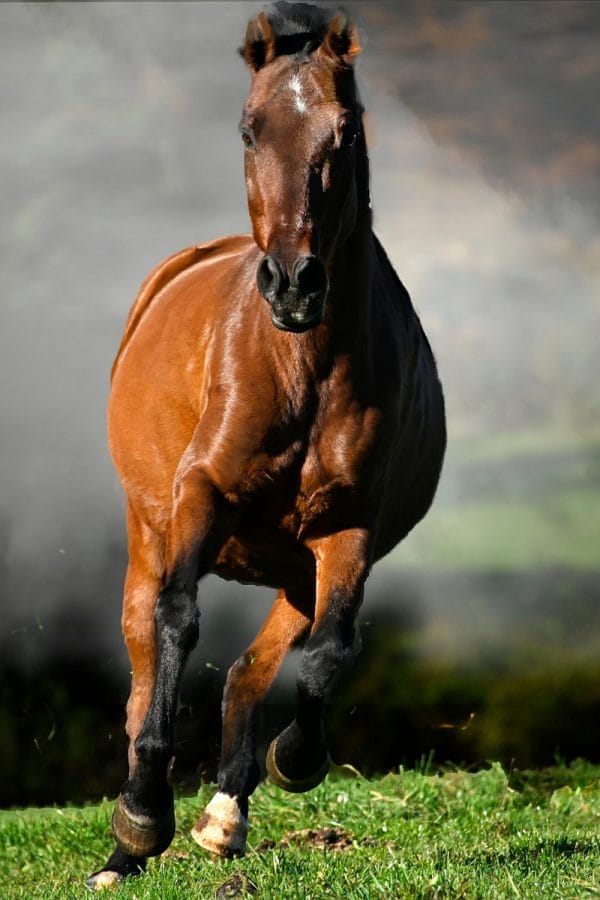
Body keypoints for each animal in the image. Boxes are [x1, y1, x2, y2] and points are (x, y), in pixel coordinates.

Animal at [86, 1, 446, 888]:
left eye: (343, 134)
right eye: (250, 131)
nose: (292, 283)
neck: (300, 368)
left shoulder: (346, 528)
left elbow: (330, 653)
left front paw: (294, 761)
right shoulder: (200, 497)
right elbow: (178, 625)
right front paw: (143, 817)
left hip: (293, 566)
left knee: (255, 670)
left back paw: (225, 815)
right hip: (149, 536)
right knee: (142, 669)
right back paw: (125, 847)